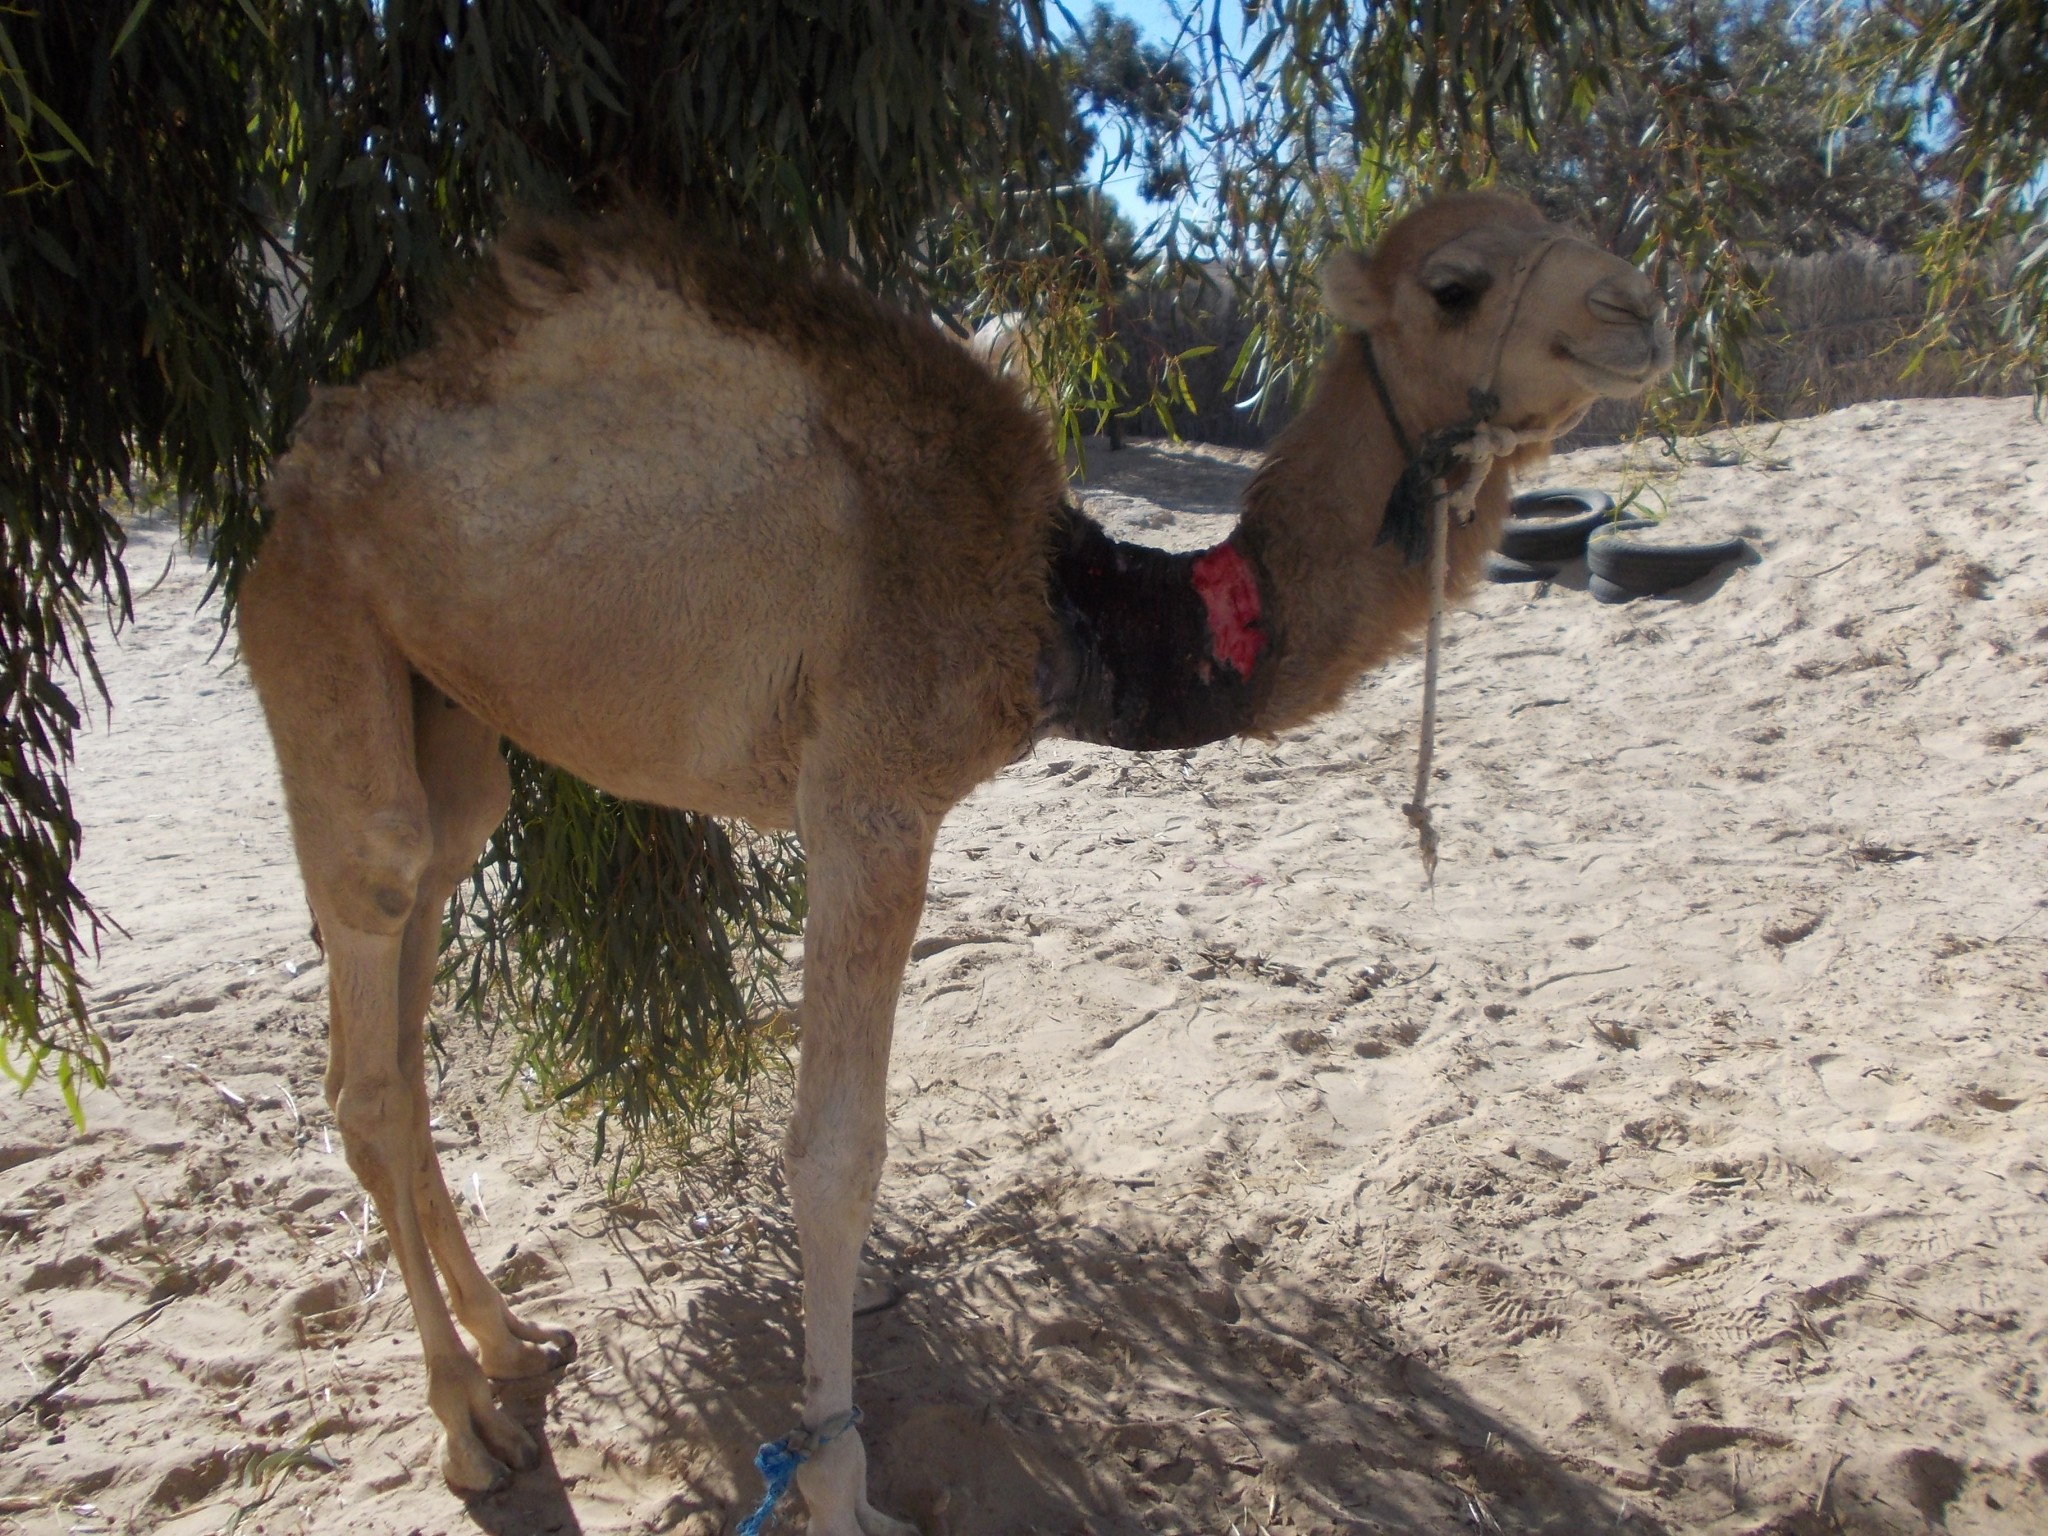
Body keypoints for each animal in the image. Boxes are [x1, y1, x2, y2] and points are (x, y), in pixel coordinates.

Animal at [236, 190, 1670, 1533]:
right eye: (1454, 285)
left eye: (1566, 227)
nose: (1636, 310)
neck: (1065, 608)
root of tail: (291, 471)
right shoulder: (871, 806)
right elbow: (835, 1158)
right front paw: (832, 1490)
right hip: (317, 621)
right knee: (368, 1047)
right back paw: (468, 1428)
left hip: (445, 709)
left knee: (419, 977)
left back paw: (509, 1343)